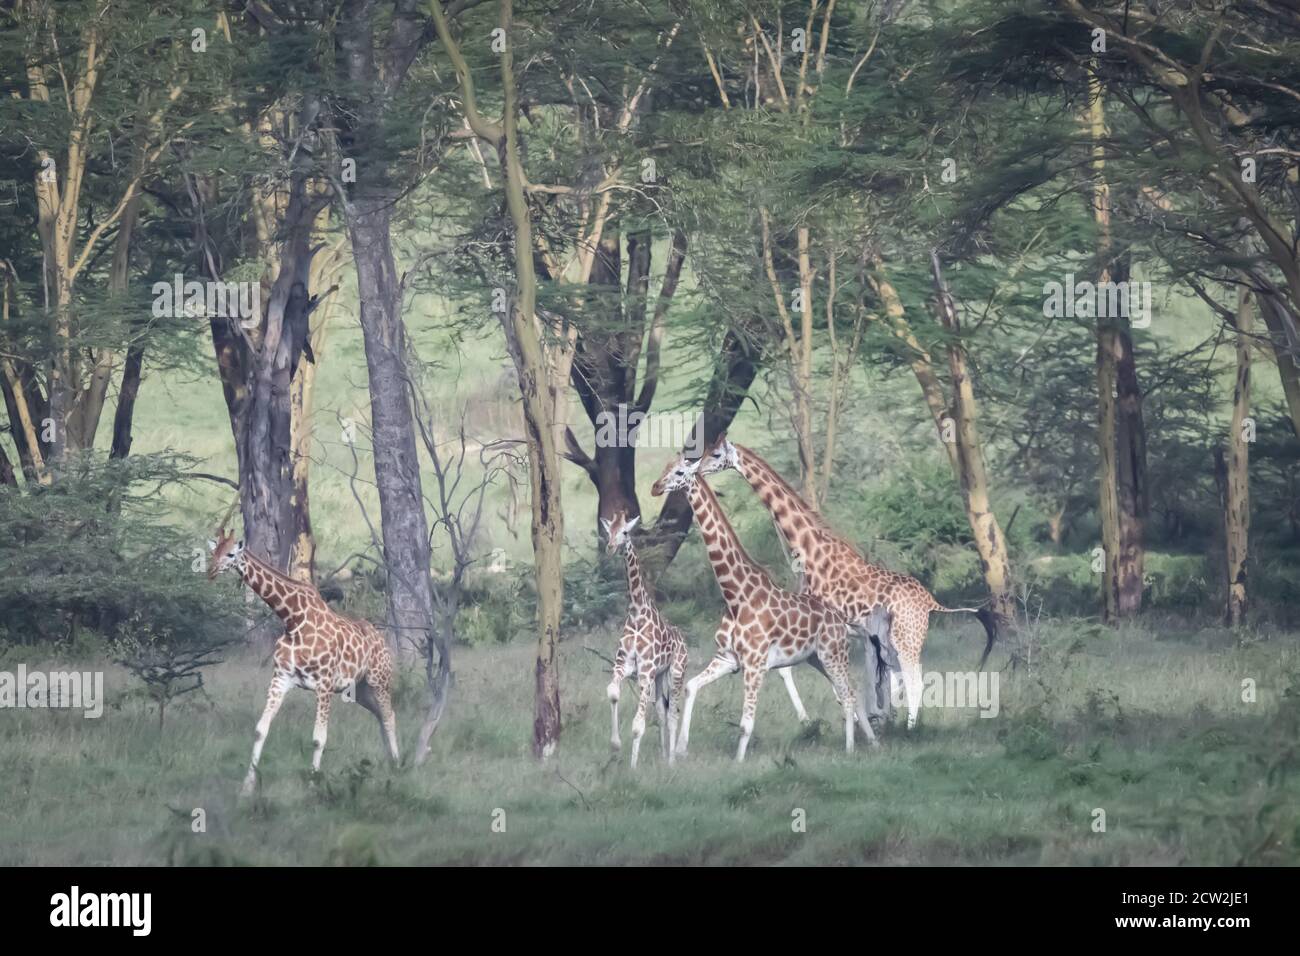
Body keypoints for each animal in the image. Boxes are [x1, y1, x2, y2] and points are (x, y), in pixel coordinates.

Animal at [208, 530, 400, 795]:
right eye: (213, 551)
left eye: (231, 554)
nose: (210, 571)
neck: (293, 620)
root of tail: (382, 640)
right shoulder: (280, 678)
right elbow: (260, 729)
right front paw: (247, 786)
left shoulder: (324, 685)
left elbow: (319, 739)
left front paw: (312, 784)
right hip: (359, 690)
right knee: (383, 715)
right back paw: (390, 762)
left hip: (379, 681)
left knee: (389, 716)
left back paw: (398, 765)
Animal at [603, 512, 688, 768]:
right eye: (608, 530)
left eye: (625, 531)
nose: (610, 547)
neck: (637, 613)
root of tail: (683, 640)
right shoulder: (626, 665)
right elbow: (613, 692)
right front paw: (615, 744)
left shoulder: (646, 671)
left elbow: (637, 725)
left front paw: (632, 767)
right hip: (660, 676)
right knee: (661, 710)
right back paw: (663, 755)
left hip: (676, 671)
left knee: (673, 713)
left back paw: (671, 761)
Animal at [650, 454, 872, 760]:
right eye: (664, 468)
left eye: (680, 472)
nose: (656, 487)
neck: (735, 596)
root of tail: (839, 620)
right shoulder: (727, 659)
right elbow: (692, 687)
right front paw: (682, 748)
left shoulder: (755, 665)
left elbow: (746, 723)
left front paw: (737, 762)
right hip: (816, 658)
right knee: (852, 692)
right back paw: (869, 742)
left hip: (832, 654)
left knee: (848, 695)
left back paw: (850, 750)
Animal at [699, 437, 997, 730]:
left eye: (715, 454)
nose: (697, 468)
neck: (810, 550)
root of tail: (931, 602)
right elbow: (800, 673)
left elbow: (824, 678)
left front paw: (836, 720)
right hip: (898, 637)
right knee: (902, 678)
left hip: (907, 637)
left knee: (915, 681)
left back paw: (910, 729)